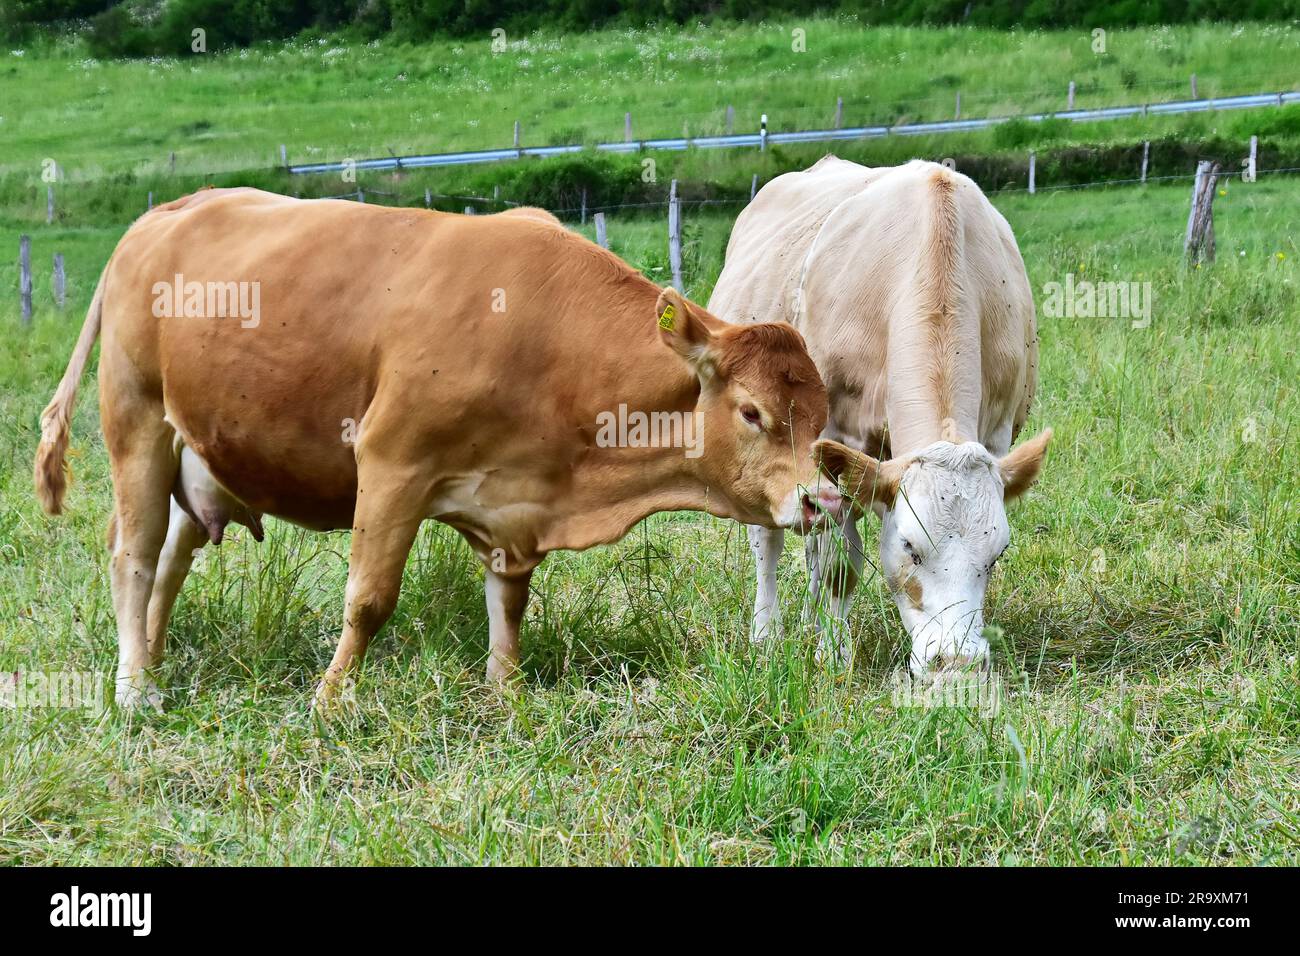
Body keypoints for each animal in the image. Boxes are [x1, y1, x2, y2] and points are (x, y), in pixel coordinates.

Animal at [34, 187, 843, 710]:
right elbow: (368, 600)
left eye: (820, 412)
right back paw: (135, 689)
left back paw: (151, 656)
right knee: (134, 556)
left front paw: (505, 693)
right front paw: (329, 699)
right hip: (137, 423)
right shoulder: (393, 464)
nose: (823, 499)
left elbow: (509, 603)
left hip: (197, 455)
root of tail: (164, 213)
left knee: (170, 558)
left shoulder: (516, 504)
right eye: (752, 412)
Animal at [707, 157, 1051, 677]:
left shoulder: (996, 438)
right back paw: (766, 636)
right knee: (769, 542)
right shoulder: (834, 445)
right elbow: (839, 566)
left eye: (997, 554)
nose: (955, 662)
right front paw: (833, 655)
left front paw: (825, 638)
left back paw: (809, 621)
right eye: (910, 546)